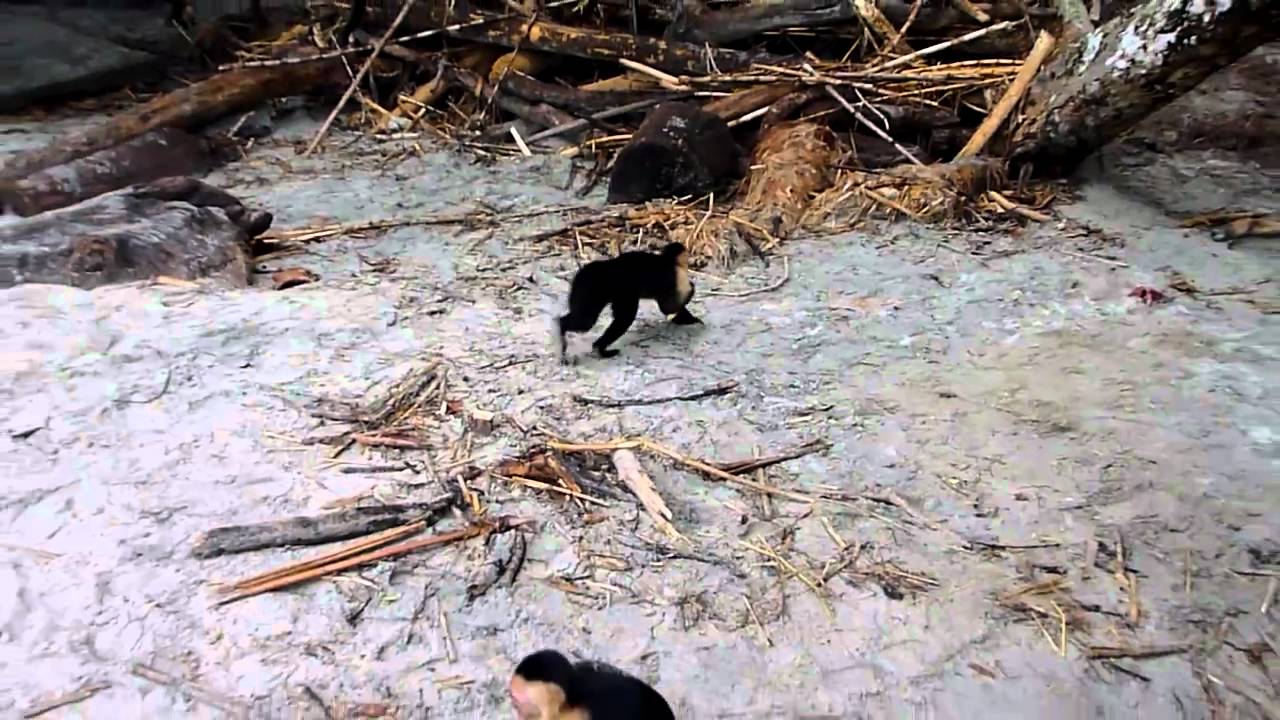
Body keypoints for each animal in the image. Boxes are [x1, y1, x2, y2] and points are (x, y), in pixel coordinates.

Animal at [556, 242, 702, 362]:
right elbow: (670, 307)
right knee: (603, 320)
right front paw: (692, 314)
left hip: (583, 287)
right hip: (602, 288)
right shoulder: (678, 276)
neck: (667, 261)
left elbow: (667, 308)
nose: (689, 260)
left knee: (586, 316)